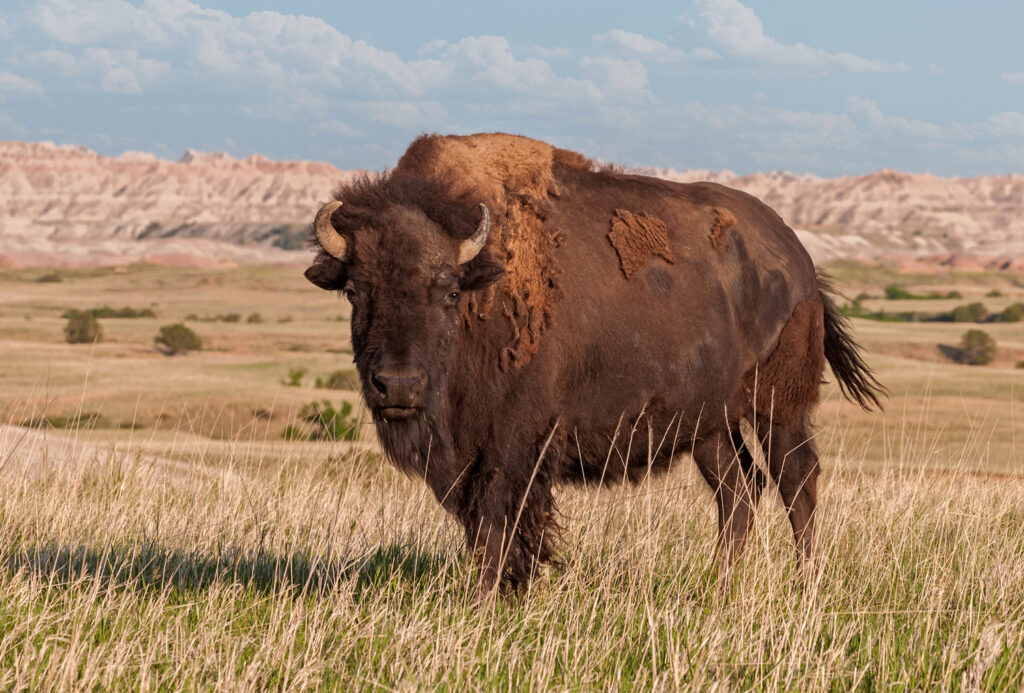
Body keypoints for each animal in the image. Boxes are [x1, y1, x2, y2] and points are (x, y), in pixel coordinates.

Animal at [304, 133, 883, 597]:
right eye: (355, 290)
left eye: (447, 291)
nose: (398, 386)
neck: (480, 286)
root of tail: (800, 263)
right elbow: (486, 527)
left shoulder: (514, 443)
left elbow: (498, 523)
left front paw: (488, 603)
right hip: (709, 425)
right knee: (738, 492)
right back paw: (721, 592)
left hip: (778, 408)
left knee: (796, 481)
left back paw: (806, 589)